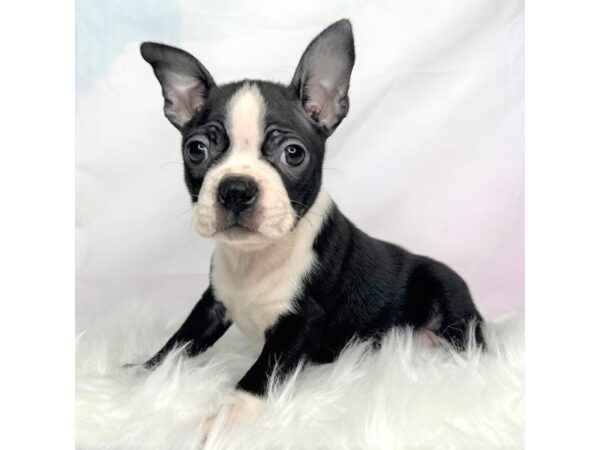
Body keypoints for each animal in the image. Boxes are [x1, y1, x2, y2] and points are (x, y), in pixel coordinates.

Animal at [138, 19, 486, 434]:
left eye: (293, 153)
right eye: (196, 150)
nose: (236, 188)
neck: (256, 258)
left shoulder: (301, 323)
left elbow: (258, 375)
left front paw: (224, 418)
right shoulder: (213, 303)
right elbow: (180, 341)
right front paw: (138, 375)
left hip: (445, 294)